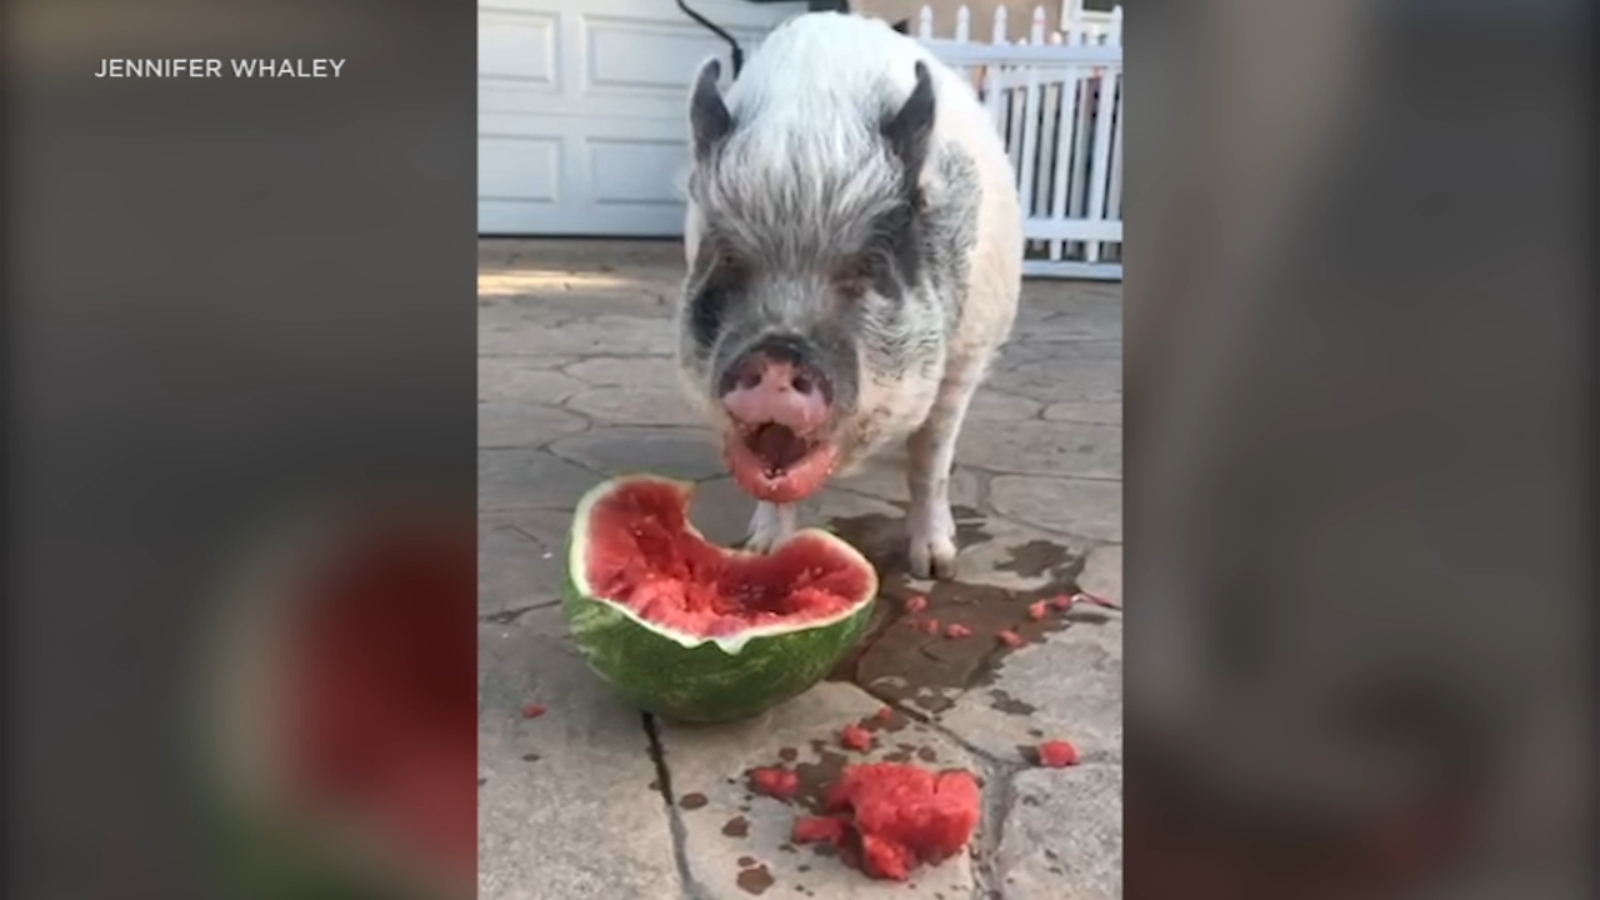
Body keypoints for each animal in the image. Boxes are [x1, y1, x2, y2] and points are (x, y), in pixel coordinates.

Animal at [674, 12, 1022, 580]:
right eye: (725, 260)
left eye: (869, 265)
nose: (777, 352)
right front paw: (761, 555)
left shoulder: (966, 354)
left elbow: (928, 459)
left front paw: (933, 566)